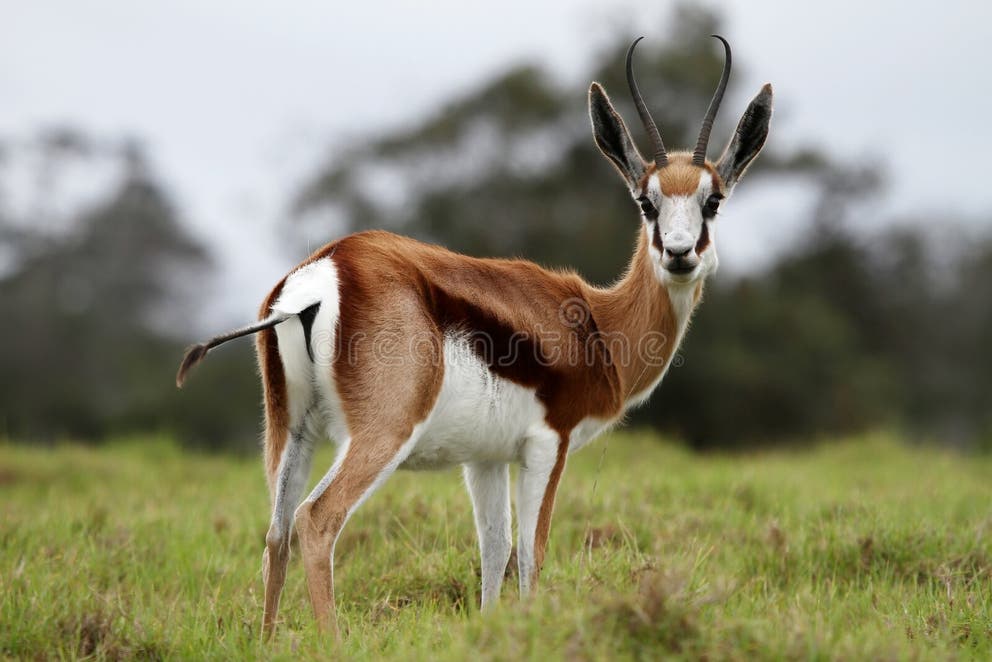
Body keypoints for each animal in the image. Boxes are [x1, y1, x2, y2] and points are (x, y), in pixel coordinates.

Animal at [176, 35, 772, 636]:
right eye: (647, 201)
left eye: (712, 200)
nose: (679, 253)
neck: (598, 326)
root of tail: (325, 269)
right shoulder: (548, 445)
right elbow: (530, 555)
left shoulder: (483, 459)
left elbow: (494, 552)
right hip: (382, 433)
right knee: (316, 521)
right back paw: (332, 641)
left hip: (290, 430)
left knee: (276, 534)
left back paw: (270, 641)